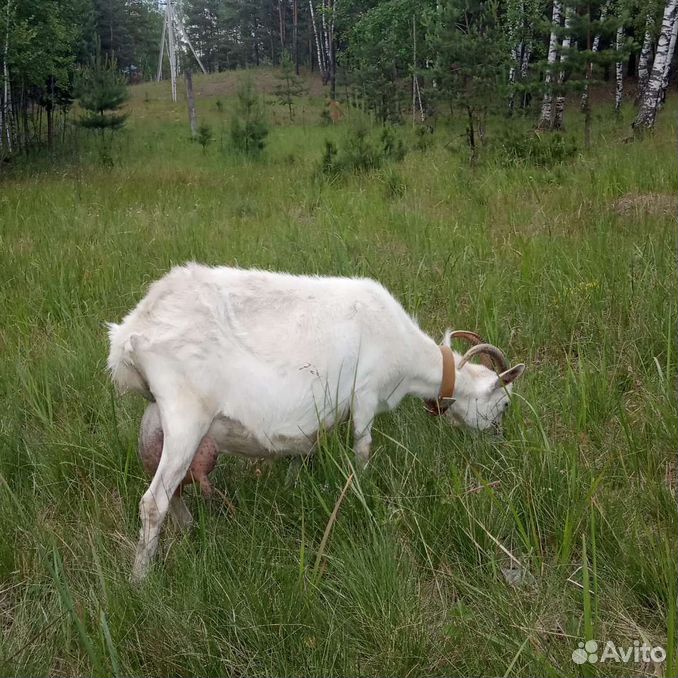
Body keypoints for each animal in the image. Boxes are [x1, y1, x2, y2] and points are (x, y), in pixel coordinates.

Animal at [107, 264, 525, 581]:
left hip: (159, 415)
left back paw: (189, 531)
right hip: (186, 413)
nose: (499, 442)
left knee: (168, 485)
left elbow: (299, 455)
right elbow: (363, 449)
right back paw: (140, 580)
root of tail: (129, 332)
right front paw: (362, 493)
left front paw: (292, 487)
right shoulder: (365, 395)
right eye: (504, 404)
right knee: (153, 501)